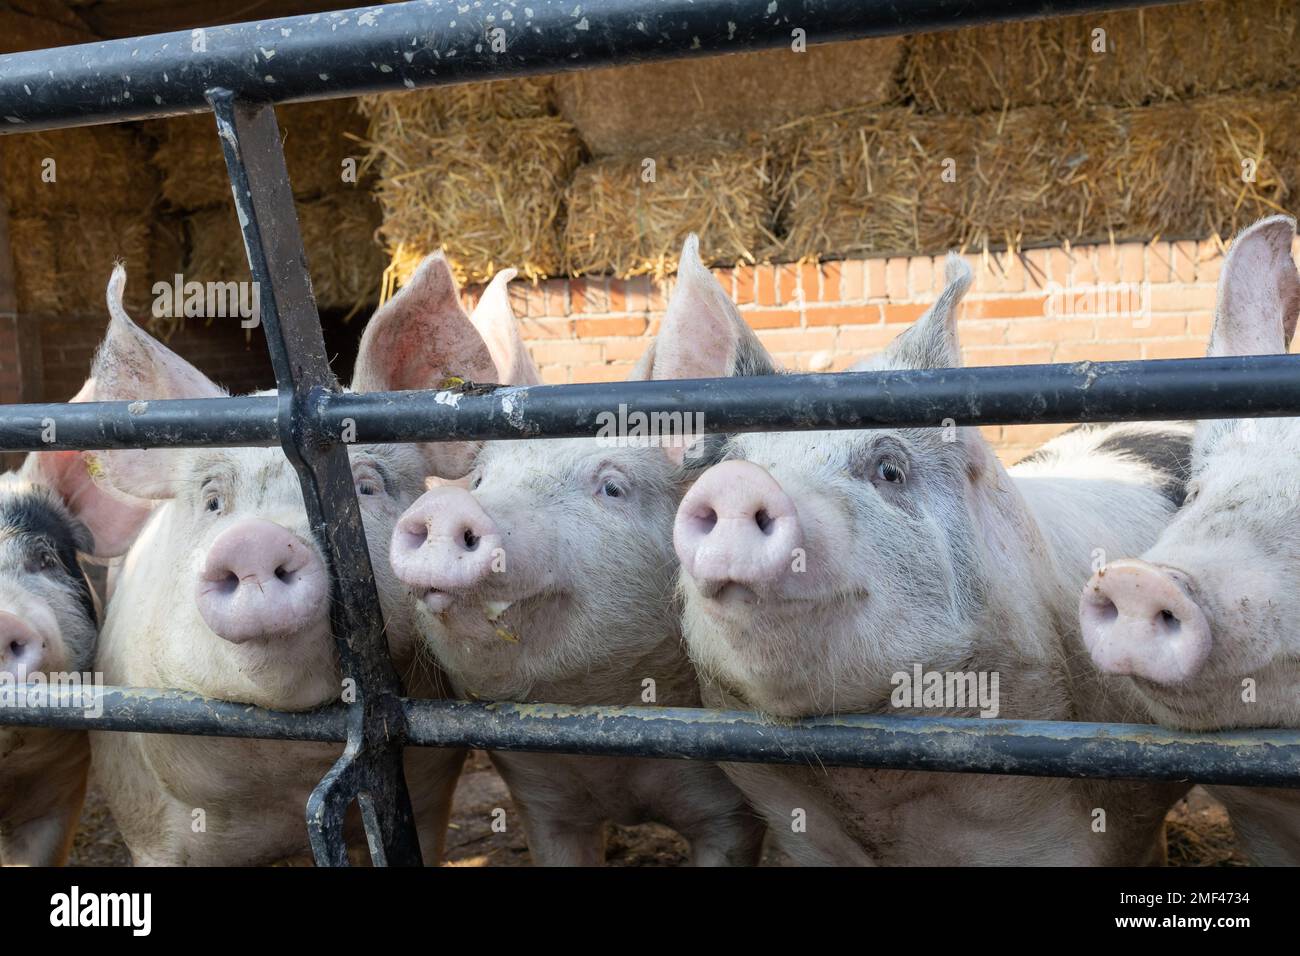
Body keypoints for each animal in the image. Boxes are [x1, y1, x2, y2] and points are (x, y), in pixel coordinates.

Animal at [85, 255, 519, 865]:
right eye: (213, 501)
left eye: (364, 487)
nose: (256, 540)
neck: (289, 781)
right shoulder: (144, 824)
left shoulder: (431, 797)